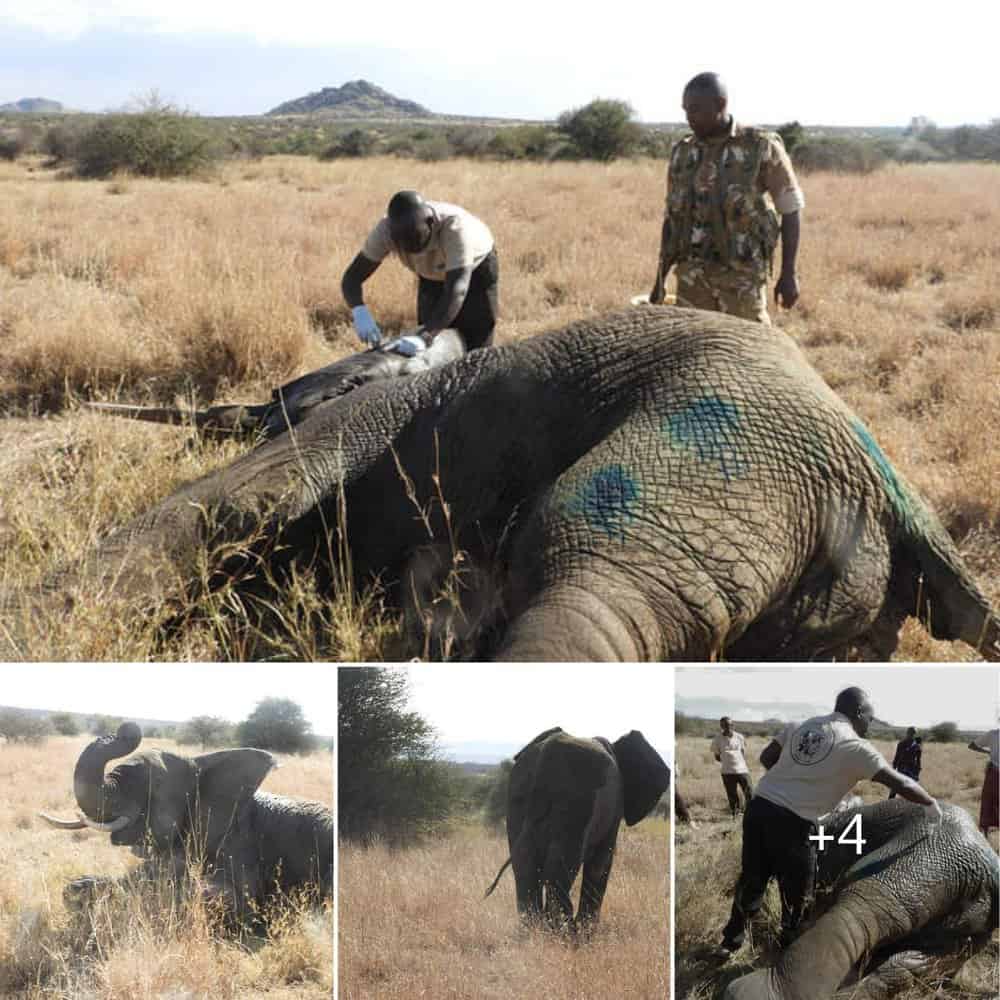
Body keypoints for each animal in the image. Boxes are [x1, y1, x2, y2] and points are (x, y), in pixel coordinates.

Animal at [9, 306, 1000, 661]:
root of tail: (893, 496)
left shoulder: (359, 420)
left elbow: (231, 503)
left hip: (711, 463)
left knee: (586, 576)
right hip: (824, 598)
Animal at [484, 727, 671, 932]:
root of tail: (545, 757)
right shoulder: (614, 810)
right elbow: (601, 864)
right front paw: (587, 933)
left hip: (517, 800)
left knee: (526, 869)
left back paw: (539, 931)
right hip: (576, 807)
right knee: (558, 873)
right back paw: (564, 933)